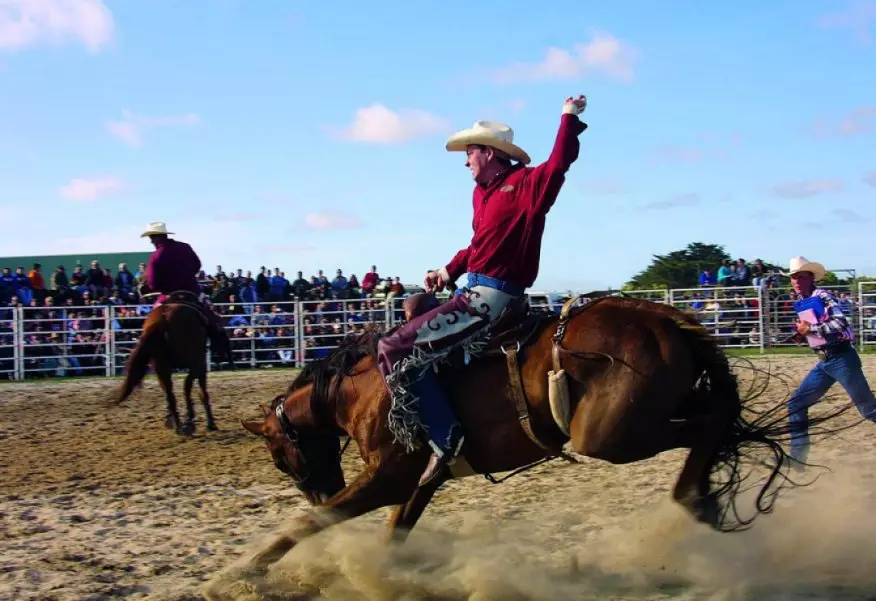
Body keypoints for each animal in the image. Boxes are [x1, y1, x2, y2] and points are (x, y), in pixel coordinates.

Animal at [115, 290, 229, 434]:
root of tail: (163, 319)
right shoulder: (200, 365)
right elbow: (199, 391)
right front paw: (208, 422)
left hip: (161, 367)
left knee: (169, 393)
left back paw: (177, 424)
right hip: (194, 361)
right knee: (185, 387)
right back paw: (186, 423)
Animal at [238, 292, 848, 568]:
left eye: (277, 454)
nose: (317, 484)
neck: (364, 386)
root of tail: (662, 317)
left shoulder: (390, 475)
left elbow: (313, 522)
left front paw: (249, 573)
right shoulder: (424, 477)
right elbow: (396, 531)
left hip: (612, 435)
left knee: (707, 426)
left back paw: (694, 500)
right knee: (713, 423)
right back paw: (703, 500)